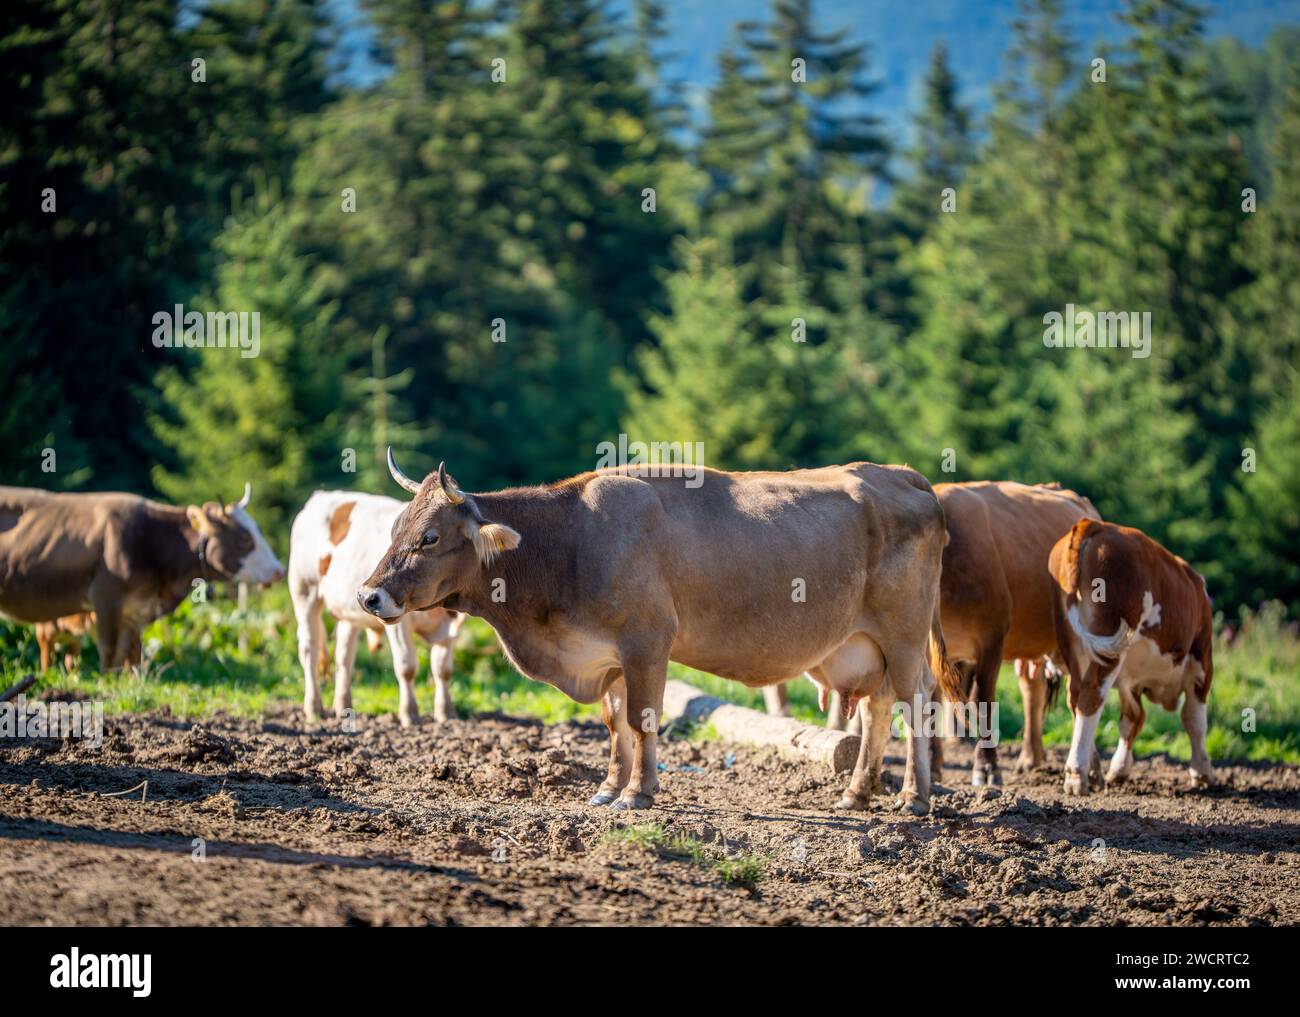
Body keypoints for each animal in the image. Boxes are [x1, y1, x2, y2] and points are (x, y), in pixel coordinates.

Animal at [0, 483, 283, 670]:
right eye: (244, 538)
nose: (279, 570)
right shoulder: (106, 599)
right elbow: (110, 653)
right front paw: (108, 684)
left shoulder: (135, 610)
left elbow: (133, 653)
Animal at [289, 491, 464, 726]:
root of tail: (321, 495)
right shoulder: (397, 620)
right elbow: (407, 666)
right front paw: (410, 713)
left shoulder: (452, 624)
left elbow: (443, 669)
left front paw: (446, 712)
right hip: (304, 591)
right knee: (310, 649)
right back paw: (314, 708)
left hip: (347, 610)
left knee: (344, 656)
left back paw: (343, 706)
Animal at [358, 450, 957, 813]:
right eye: (394, 529)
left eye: (430, 537)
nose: (369, 596)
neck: (569, 540)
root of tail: (898, 473)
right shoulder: (609, 657)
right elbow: (615, 724)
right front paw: (608, 788)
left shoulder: (647, 642)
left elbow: (643, 720)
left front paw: (638, 794)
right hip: (865, 645)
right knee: (878, 708)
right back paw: (856, 794)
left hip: (904, 638)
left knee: (914, 705)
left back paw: (914, 798)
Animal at [1047, 518, 1215, 795]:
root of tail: (1092, 525)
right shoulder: (1201, 658)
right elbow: (1194, 719)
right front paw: (1201, 771)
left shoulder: (1130, 681)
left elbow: (1132, 718)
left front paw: (1119, 769)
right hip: (1109, 645)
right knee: (1091, 696)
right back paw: (1076, 774)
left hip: (1073, 644)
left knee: (1076, 698)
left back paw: (1090, 770)